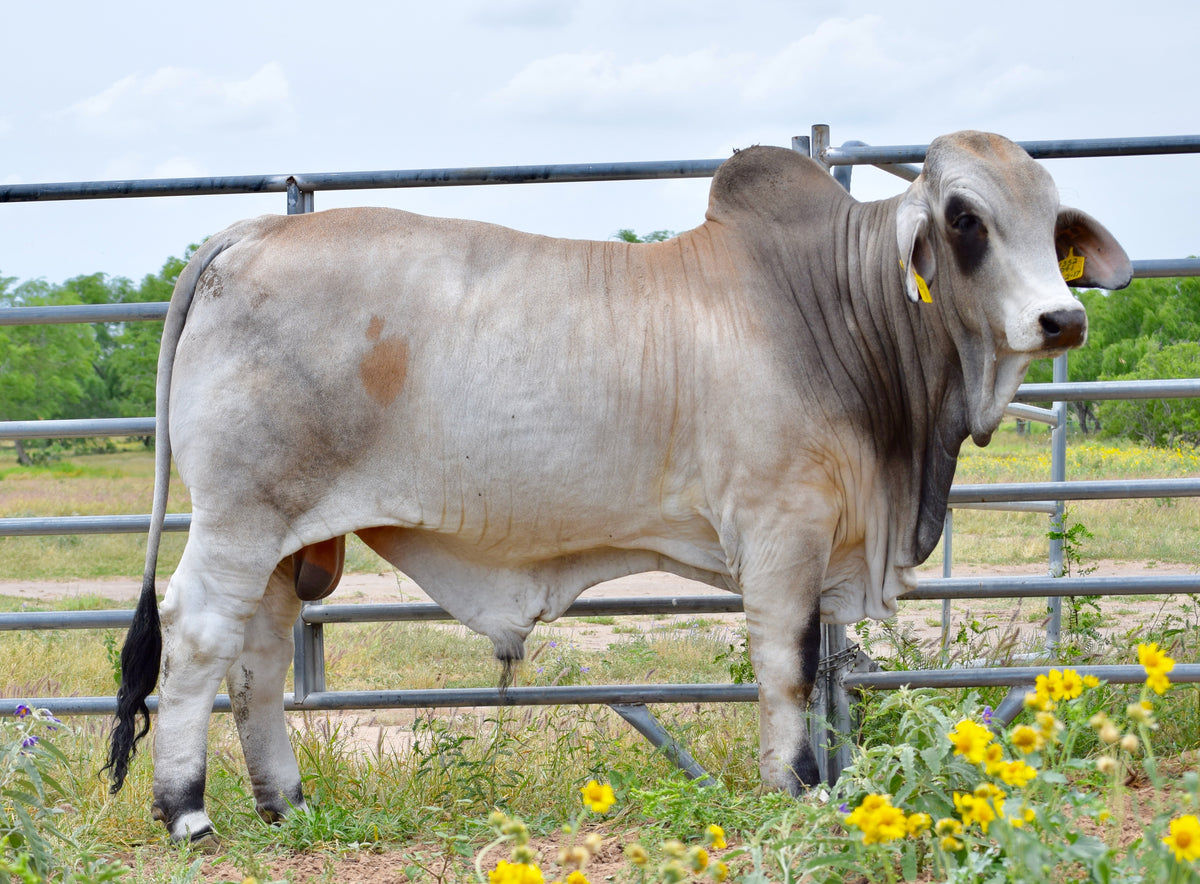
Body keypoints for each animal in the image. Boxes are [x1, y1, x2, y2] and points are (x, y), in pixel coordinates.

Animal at [104, 131, 1131, 843]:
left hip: (288, 541)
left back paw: (289, 805)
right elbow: (789, 667)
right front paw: (797, 789)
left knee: (261, 659)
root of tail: (252, 229)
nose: (1062, 318)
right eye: (965, 219)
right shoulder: (782, 531)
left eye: (1053, 224)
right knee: (199, 637)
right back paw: (187, 813)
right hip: (241, 517)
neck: (837, 311)